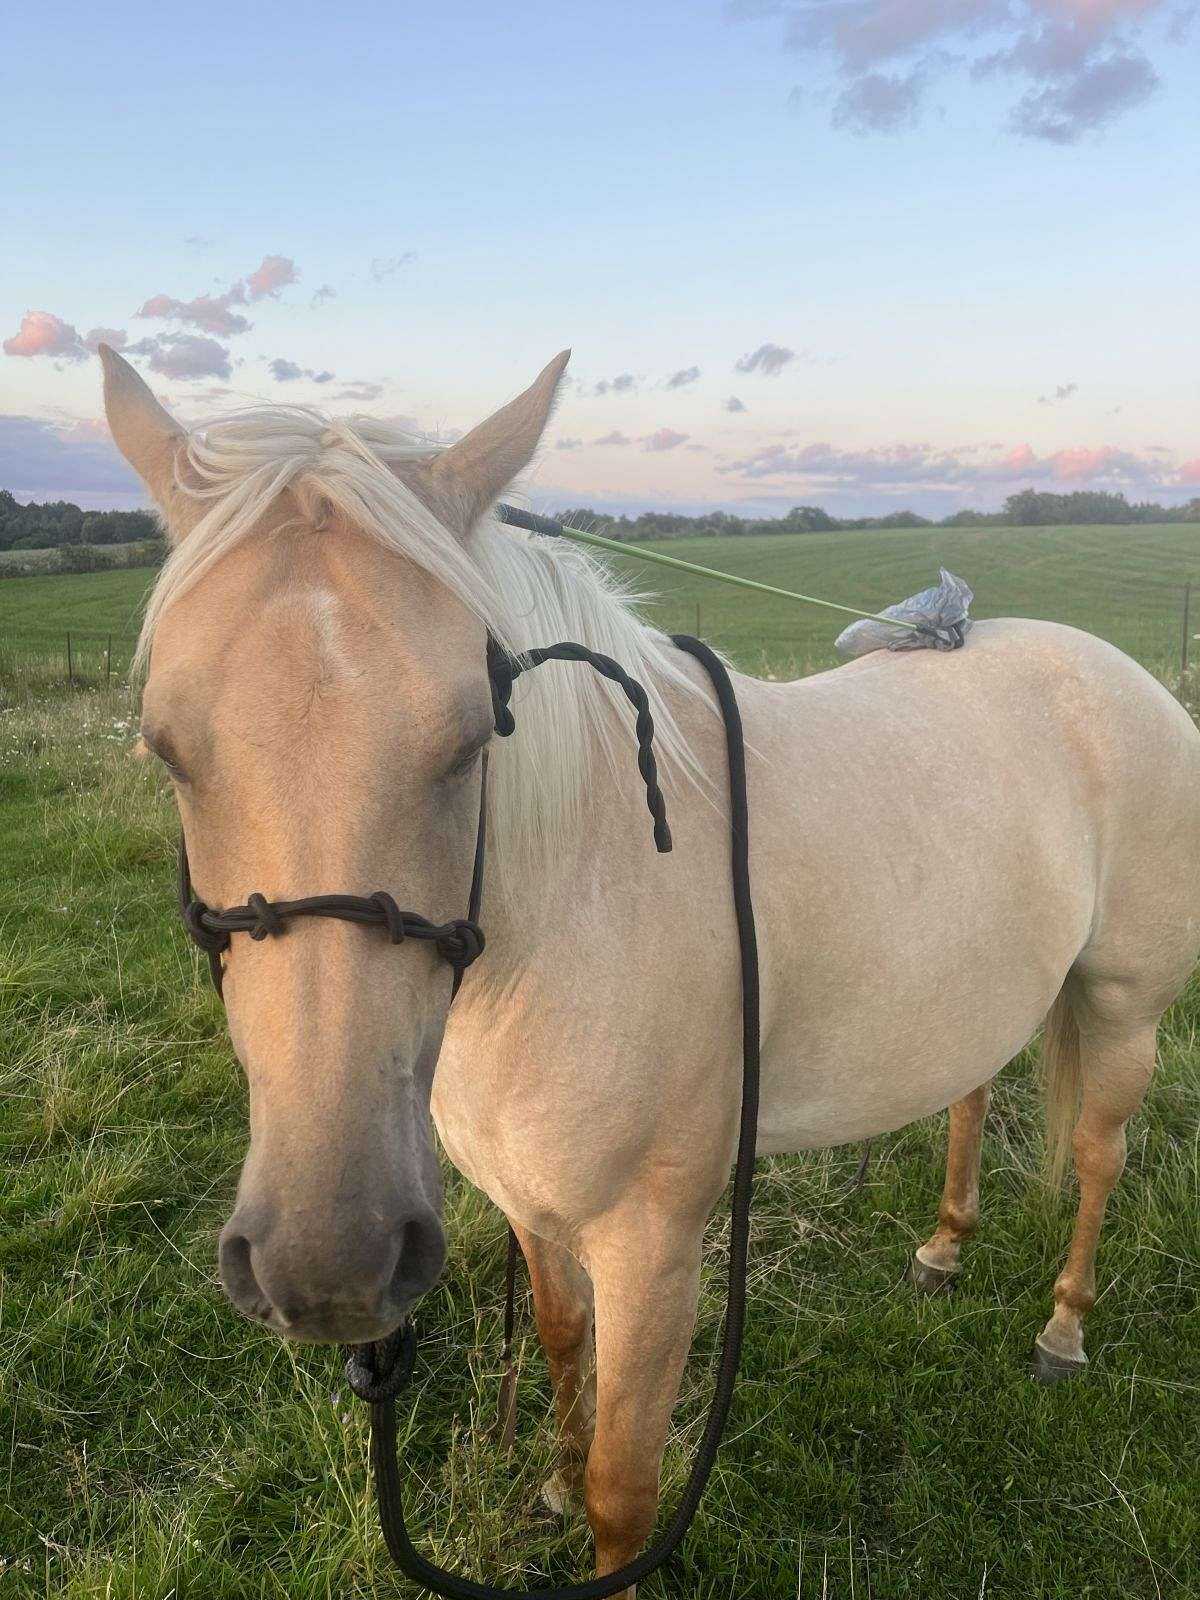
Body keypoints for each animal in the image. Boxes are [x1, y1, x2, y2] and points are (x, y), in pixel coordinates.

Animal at [99, 343, 1200, 1595]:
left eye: (472, 739)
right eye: (166, 746)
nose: (328, 1263)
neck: (576, 901)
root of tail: (1118, 673)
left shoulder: (655, 1249)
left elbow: (624, 1491)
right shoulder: (535, 1210)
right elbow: (564, 1355)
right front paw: (547, 1477)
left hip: (1124, 1007)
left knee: (1100, 1154)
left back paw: (1063, 1328)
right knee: (972, 1093)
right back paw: (944, 1246)